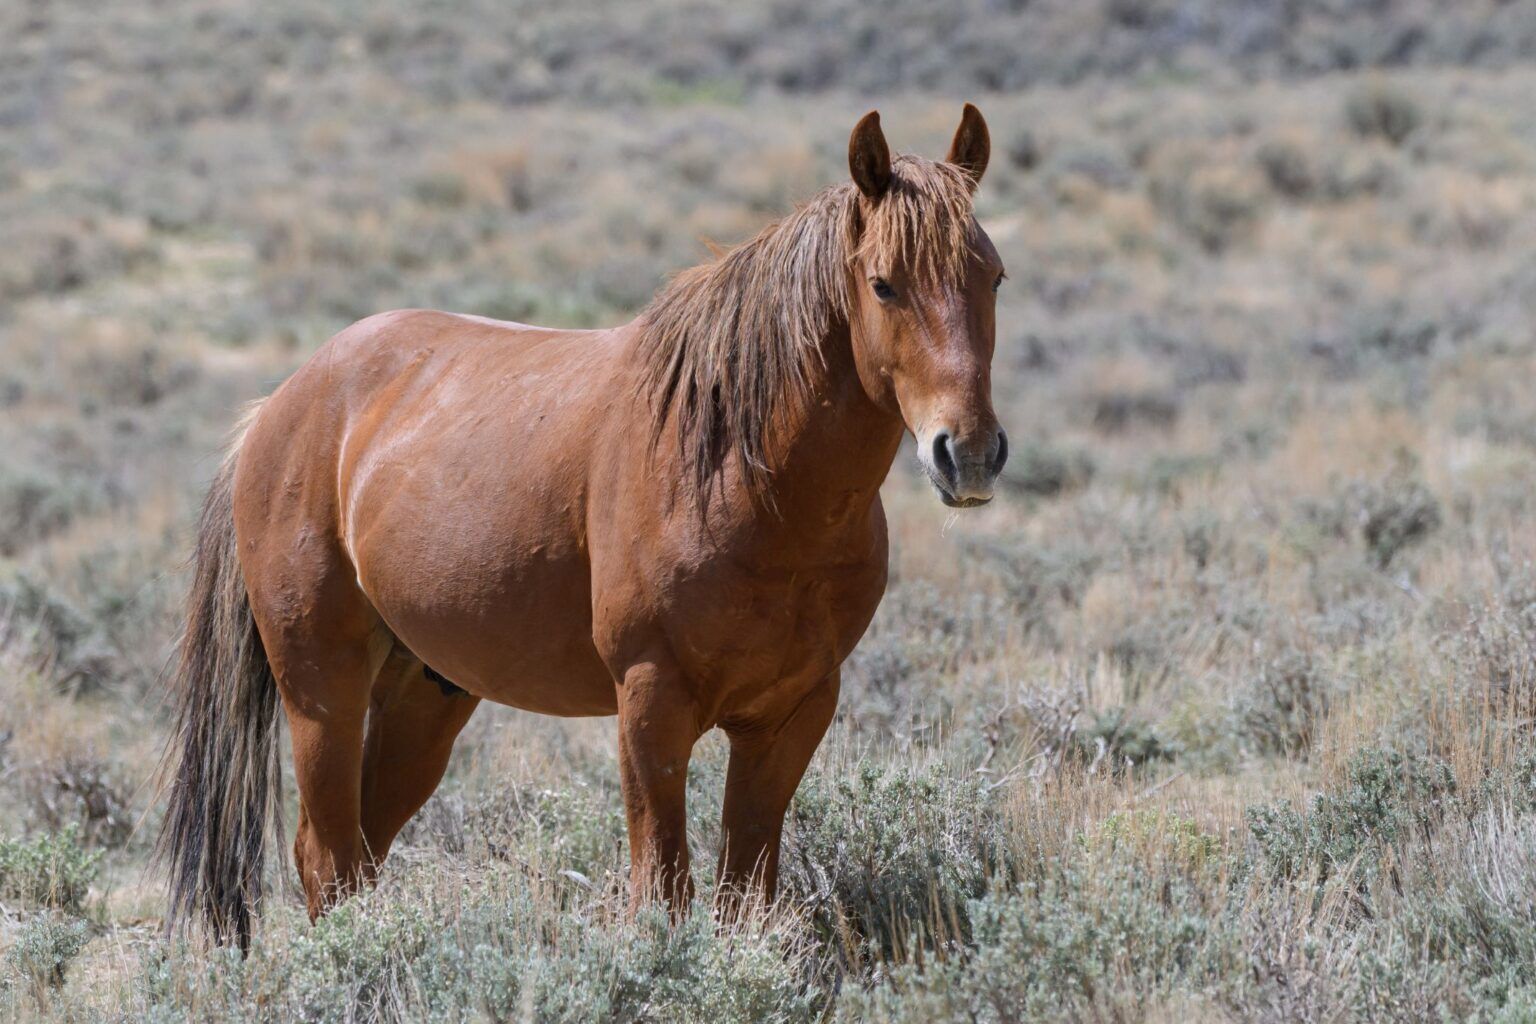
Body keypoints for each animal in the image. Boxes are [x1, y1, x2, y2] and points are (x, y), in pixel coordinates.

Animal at [157, 104, 1009, 947]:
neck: (749, 483)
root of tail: (281, 406)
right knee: (326, 858)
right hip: (321, 692)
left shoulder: (791, 716)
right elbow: (662, 888)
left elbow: (743, 895)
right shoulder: (650, 705)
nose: (968, 453)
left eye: (994, 277)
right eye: (883, 285)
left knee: (356, 851)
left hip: (424, 696)